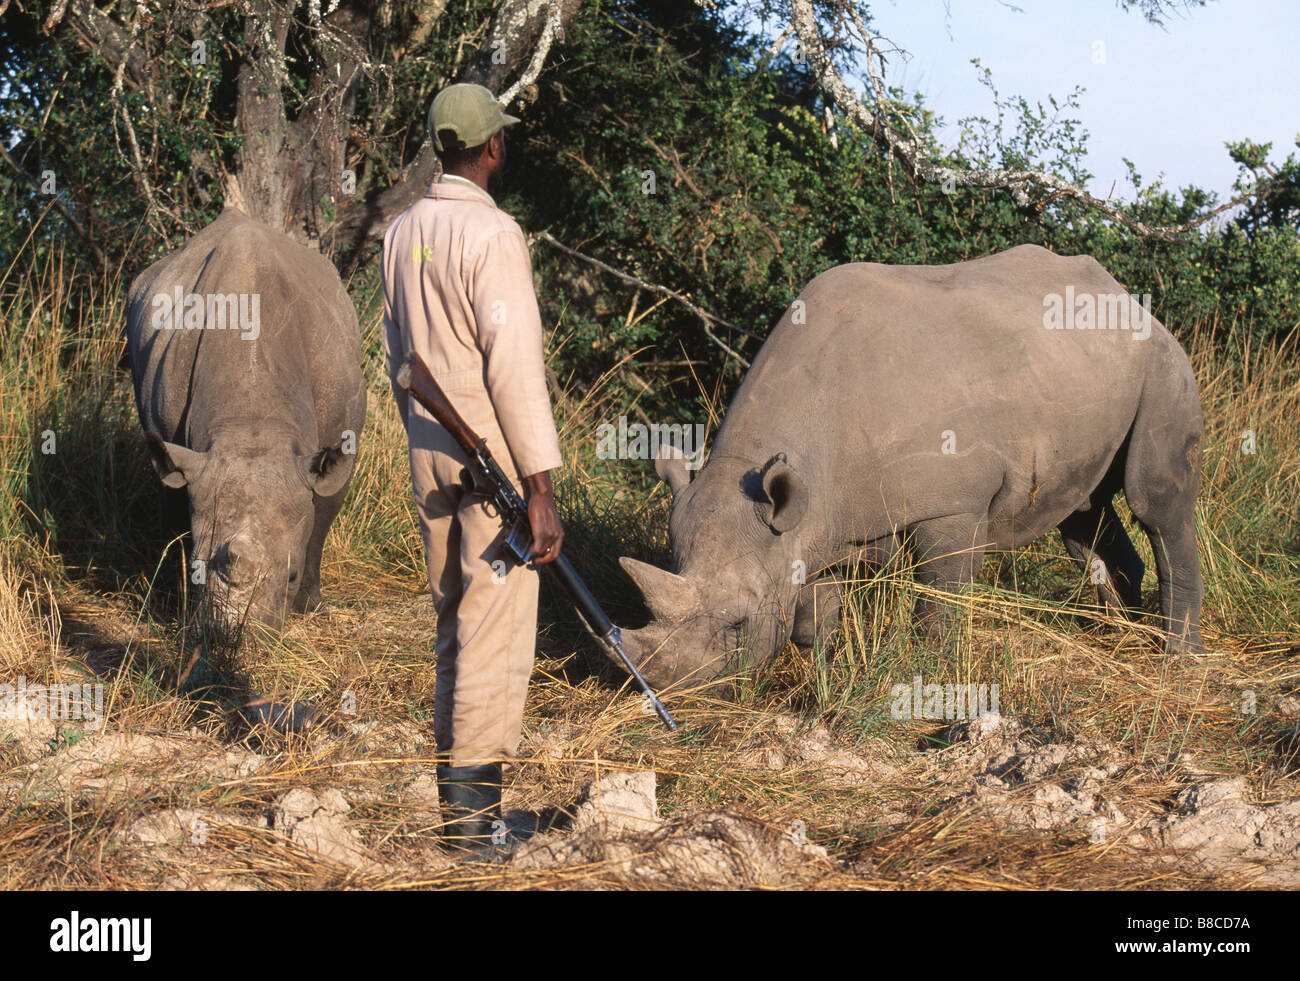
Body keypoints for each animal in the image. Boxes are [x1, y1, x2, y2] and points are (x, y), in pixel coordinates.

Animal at [126, 208, 366, 633]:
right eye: (200, 569)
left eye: (289, 576)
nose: (232, 637)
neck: (252, 423)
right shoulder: (178, 449)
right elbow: (175, 511)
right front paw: (181, 605)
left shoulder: (337, 449)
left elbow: (321, 518)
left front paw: (309, 605)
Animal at [617, 244, 1204, 691]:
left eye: (739, 624)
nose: (668, 689)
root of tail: (1128, 298)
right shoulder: (809, 520)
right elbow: (816, 614)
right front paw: (824, 669)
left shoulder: (951, 508)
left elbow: (938, 603)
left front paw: (930, 675)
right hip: (1077, 371)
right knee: (1084, 515)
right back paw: (1121, 635)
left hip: (1164, 361)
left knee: (1154, 502)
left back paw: (1179, 660)